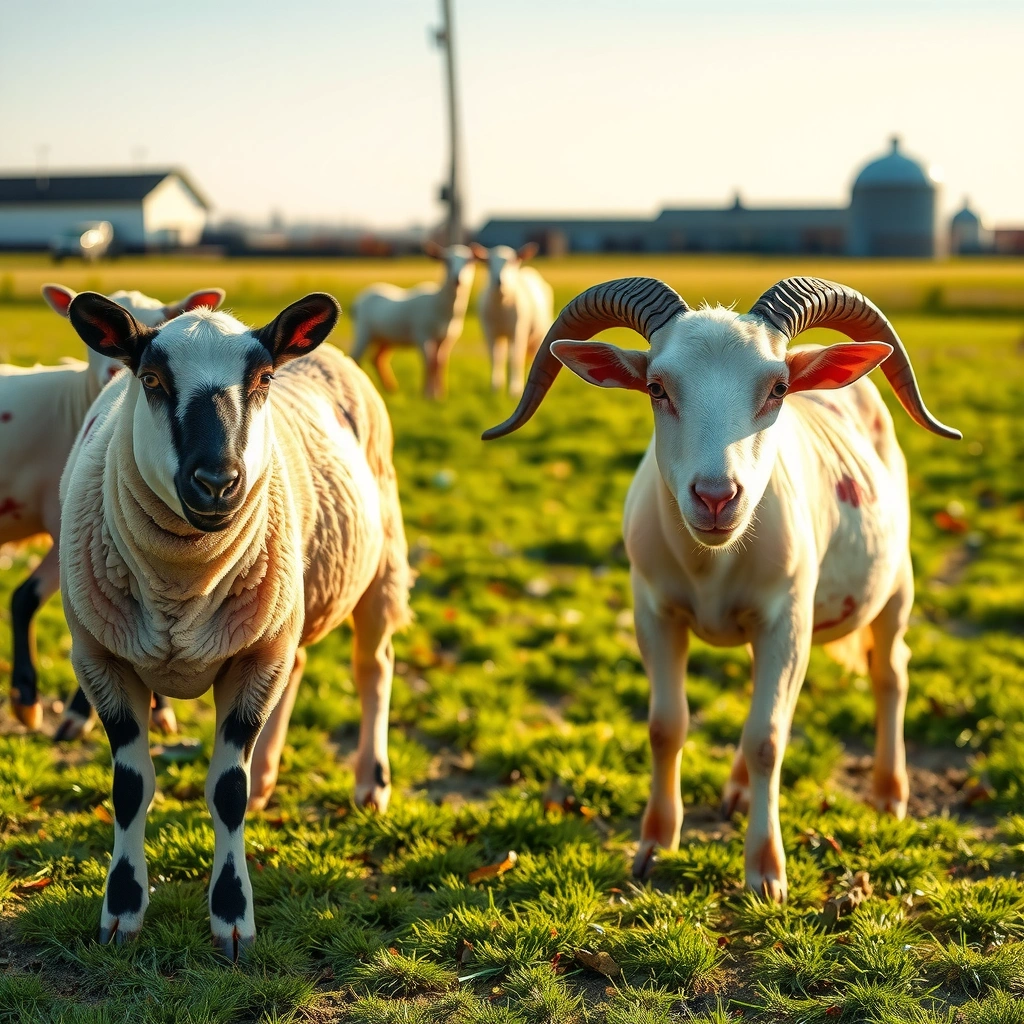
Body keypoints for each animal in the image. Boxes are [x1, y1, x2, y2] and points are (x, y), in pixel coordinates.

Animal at [59, 290, 410, 957]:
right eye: (152, 380)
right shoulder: (99, 657)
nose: (217, 483)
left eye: (262, 381)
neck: (181, 590)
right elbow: (129, 789)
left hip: (377, 564)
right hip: (287, 604)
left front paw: (232, 918)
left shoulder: (253, 656)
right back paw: (269, 774)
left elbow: (226, 793)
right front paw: (122, 911)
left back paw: (370, 785)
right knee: (300, 666)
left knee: (373, 669)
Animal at [350, 242, 476, 399]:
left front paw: (440, 394)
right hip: (364, 330)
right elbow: (429, 362)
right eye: (446, 261)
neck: (439, 306)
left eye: (469, 261)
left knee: (377, 359)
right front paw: (427, 394)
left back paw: (391, 389)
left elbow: (440, 363)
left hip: (386, 337)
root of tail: (358, 301)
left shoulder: (447, 338)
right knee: (354, 358)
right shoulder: (423, 333)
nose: (457, 279)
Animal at [471, 243, 553, 396]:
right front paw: (495, 387)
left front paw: (514, 389)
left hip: (537, 334)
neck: (501, 306)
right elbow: (495, 357)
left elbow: (515, 358)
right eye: (488, 262)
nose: (499, 281)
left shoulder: (518, 330)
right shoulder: (489, 331)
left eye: (512, 261)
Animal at [483, 276, 960, 901]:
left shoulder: (786, 619)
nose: (715, 497)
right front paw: (655, 844)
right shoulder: (653, 611)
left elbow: (768, 740)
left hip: (894, 583)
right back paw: (736, 791)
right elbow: (667, 727)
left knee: (890, 675)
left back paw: (888, 792)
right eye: (656, 387)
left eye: (778, 388)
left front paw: (766, 872)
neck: (711, 565)